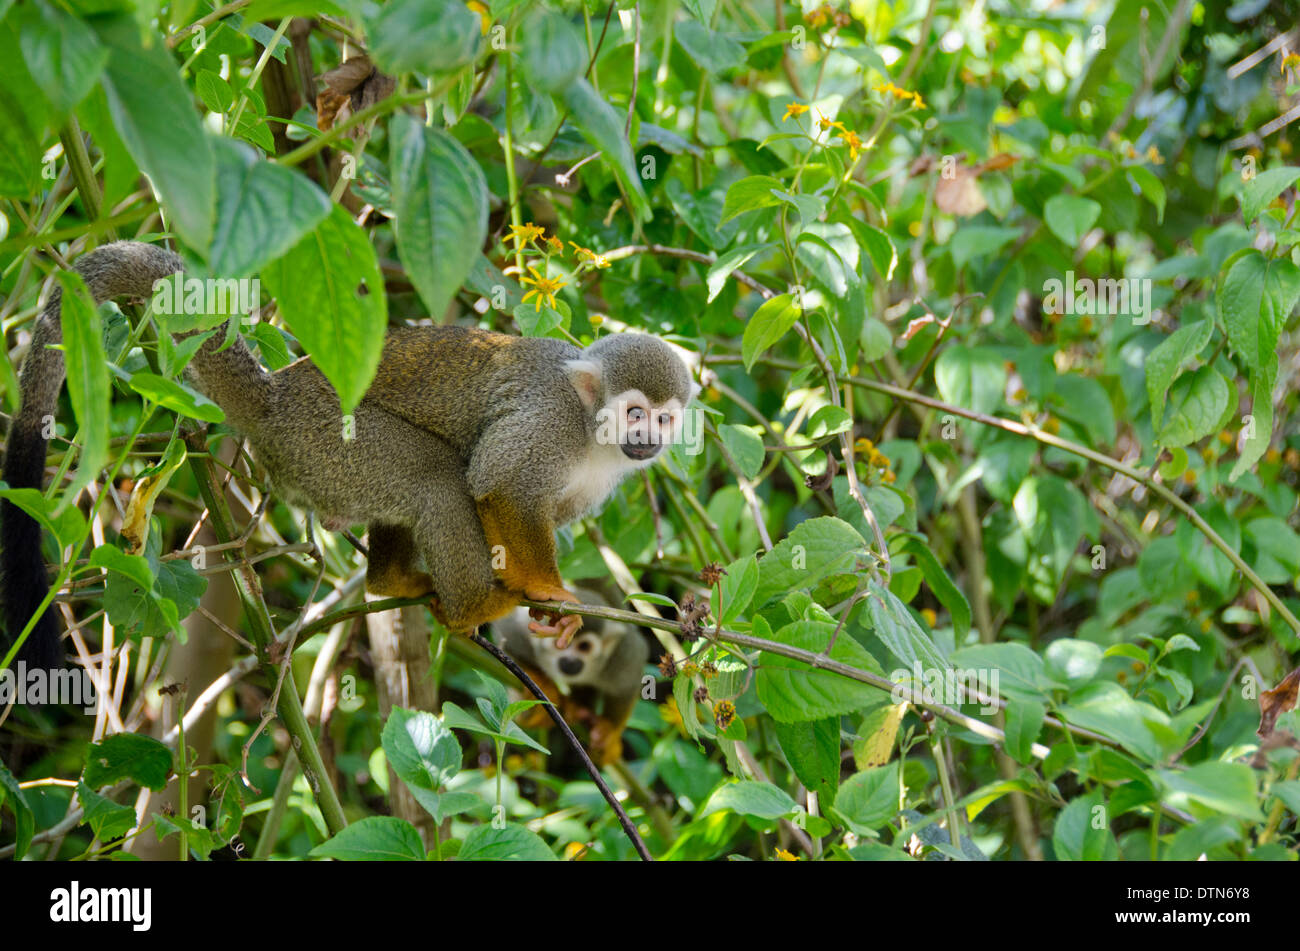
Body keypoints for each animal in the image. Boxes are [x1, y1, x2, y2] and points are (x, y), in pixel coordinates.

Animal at [1, 241, 697, 668]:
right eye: (635, 412)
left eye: (664, 418)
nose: (649, 440)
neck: (592, 433)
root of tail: (277, 394)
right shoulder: (549, 421)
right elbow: (497, 482)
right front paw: (545, 589)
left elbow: (538, 509)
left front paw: (549, 605)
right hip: (329, 440)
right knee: (437, 477)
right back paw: (475, 605)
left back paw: (393, 583)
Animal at [494, 589, 650, 765]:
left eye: (584, 647)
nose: (570, 661)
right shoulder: (519, 629)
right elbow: (505, 635)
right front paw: (539, 683)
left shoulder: (622, 653)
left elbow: (627, 684)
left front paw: (609, 731)